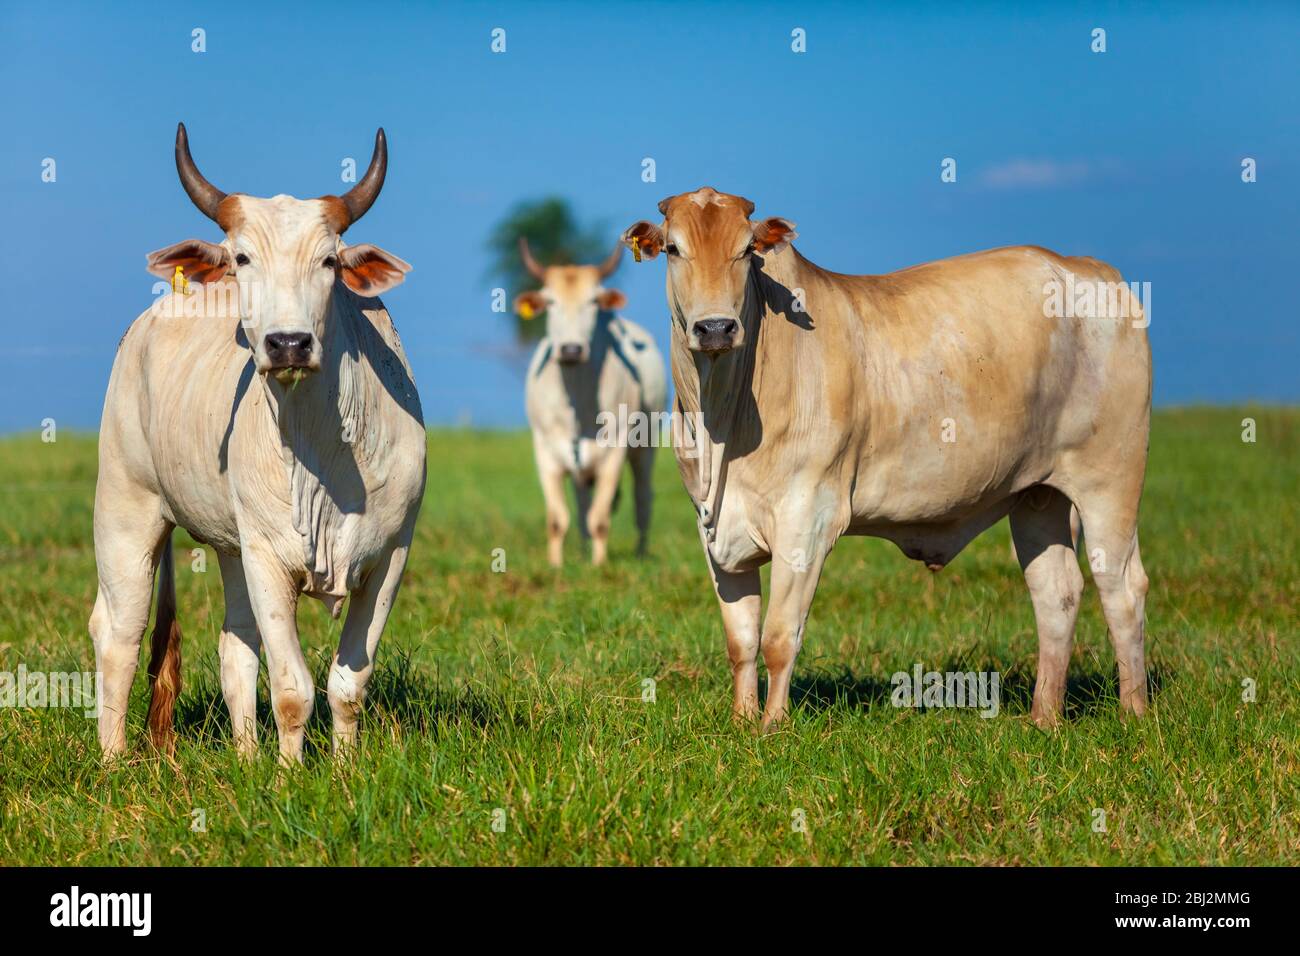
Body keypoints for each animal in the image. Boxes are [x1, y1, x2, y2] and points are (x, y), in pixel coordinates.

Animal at [90, 123, 426, 763]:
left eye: (329, 259)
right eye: (243, 256)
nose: (288, 343)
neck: (323, 452)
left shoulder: (392, 554)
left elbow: (348, 683)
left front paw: (343, 770)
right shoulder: (268, 556)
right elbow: (293, 690)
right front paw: (290, 773)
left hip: (230, 544)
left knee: (234, 645)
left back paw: (245, 755)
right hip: (126, 510)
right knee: (119, 631)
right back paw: (114, 759)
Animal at [514, 240, 667, 566]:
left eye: (593, 302)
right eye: (550, 302)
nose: (571, 350)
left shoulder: (614, 453)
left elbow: (600, 517)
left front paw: (599, 565)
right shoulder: (545, 451)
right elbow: (558, 519)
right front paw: (557, 565)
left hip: (645, 450)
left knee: (642, 499)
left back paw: (640, 552)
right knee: (583, 500)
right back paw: (583, 550)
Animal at [622, 187, 1151, 731]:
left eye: (747, 249)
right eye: (673, 249)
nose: (715, 328)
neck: (723, 420)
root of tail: (1088, 269)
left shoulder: (807, 518)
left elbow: (778, 637)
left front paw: (771, 726)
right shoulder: (713, 526)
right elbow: (742, 641)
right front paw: (743, 720)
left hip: (1110, 478)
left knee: (1121, 587)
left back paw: (1134, 713)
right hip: (1037, 494)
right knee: (1056, 593)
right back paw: (1044, 717)